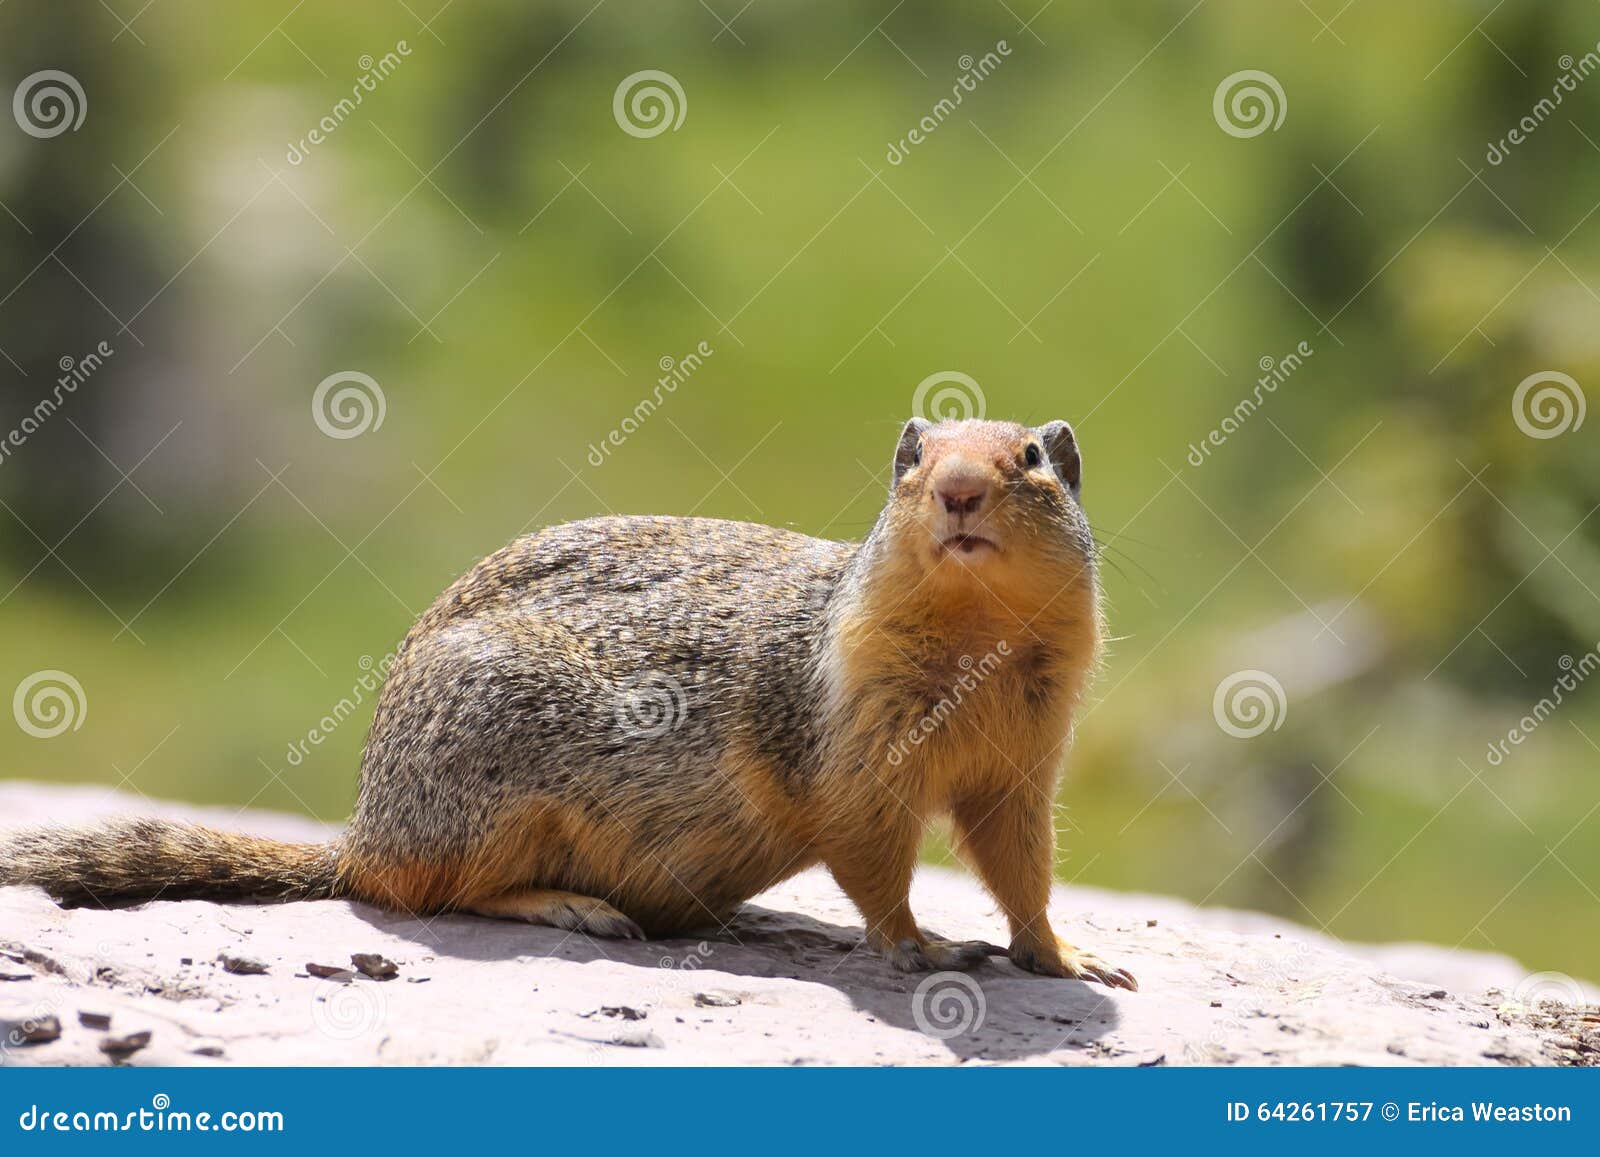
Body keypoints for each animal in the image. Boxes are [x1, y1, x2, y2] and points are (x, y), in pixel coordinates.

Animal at [1, 417, 1135, 990]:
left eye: (1031, 456)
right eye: (911, 457)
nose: (955, 488)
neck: (974, 635)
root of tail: (361, 827)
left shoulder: (1027, 756)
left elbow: (1021, 859)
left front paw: (1067, 954)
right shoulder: (852, 744)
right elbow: (872, 856)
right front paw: (921, 944)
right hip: (485, 779)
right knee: (420, 889)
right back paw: (571, 905)